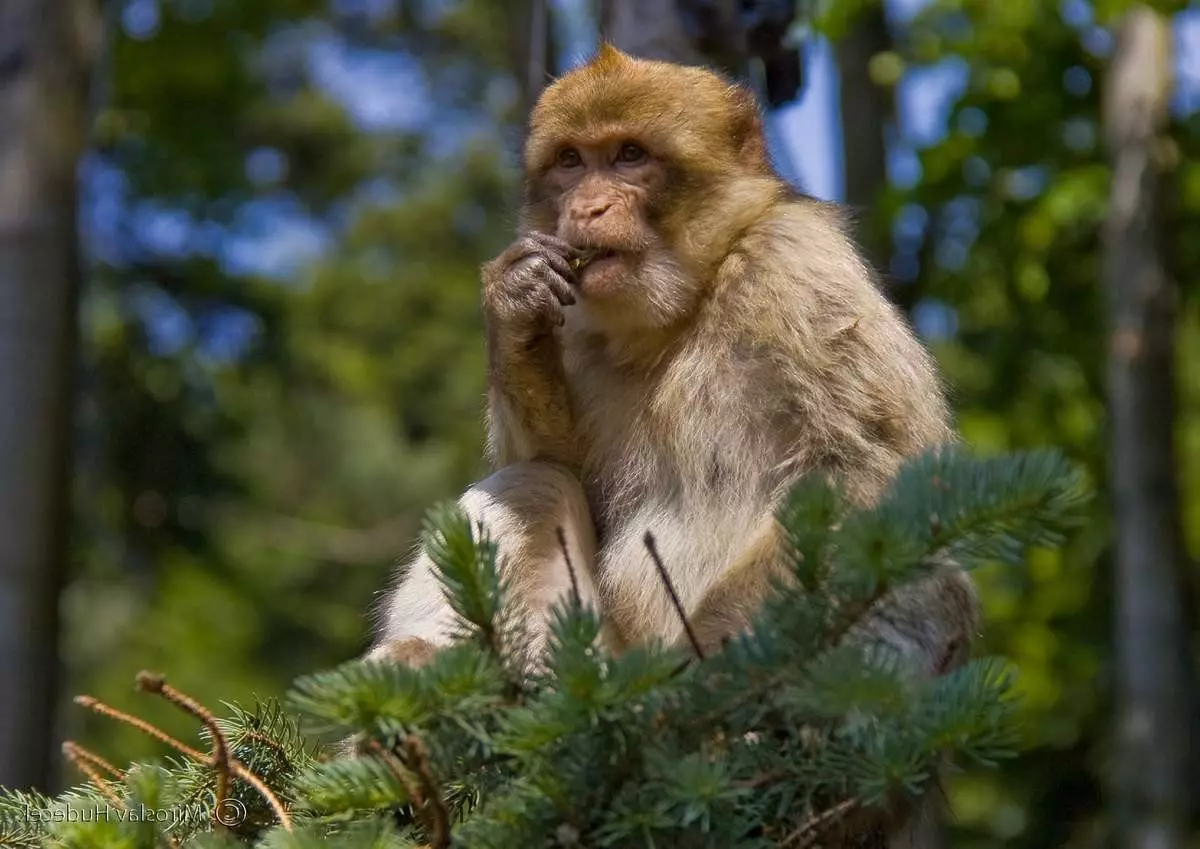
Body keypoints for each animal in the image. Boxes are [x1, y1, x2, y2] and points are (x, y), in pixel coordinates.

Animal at [364, 47, 984, 849]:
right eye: (571, 162)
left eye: (629, 156)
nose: (587, 208)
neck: (684, 307)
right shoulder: (578, 323)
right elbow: (559, 462)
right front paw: (513, 305)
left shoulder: (797, 268)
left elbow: (879, 476)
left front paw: (704, 690)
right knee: (536, 483)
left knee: (925, 581)